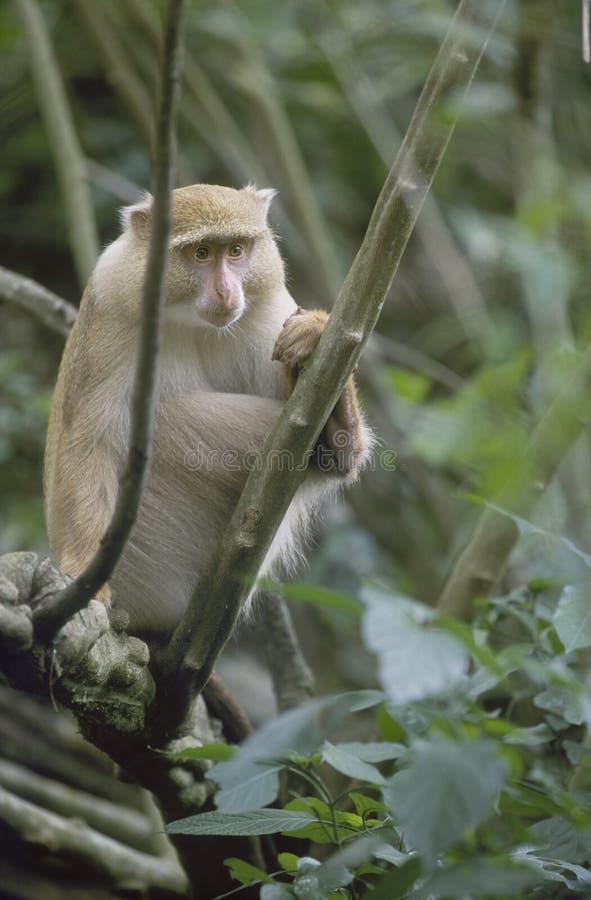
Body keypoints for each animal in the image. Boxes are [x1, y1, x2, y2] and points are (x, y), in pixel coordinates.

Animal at [44, 184, 372, 638]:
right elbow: (90, 441)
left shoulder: (268, 307)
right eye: (200, 254)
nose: (226, 292)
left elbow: (319, 433)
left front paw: (313, 342)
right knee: (163, 420)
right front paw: (85, 583)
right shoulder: (114, 303)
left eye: (236, 250)